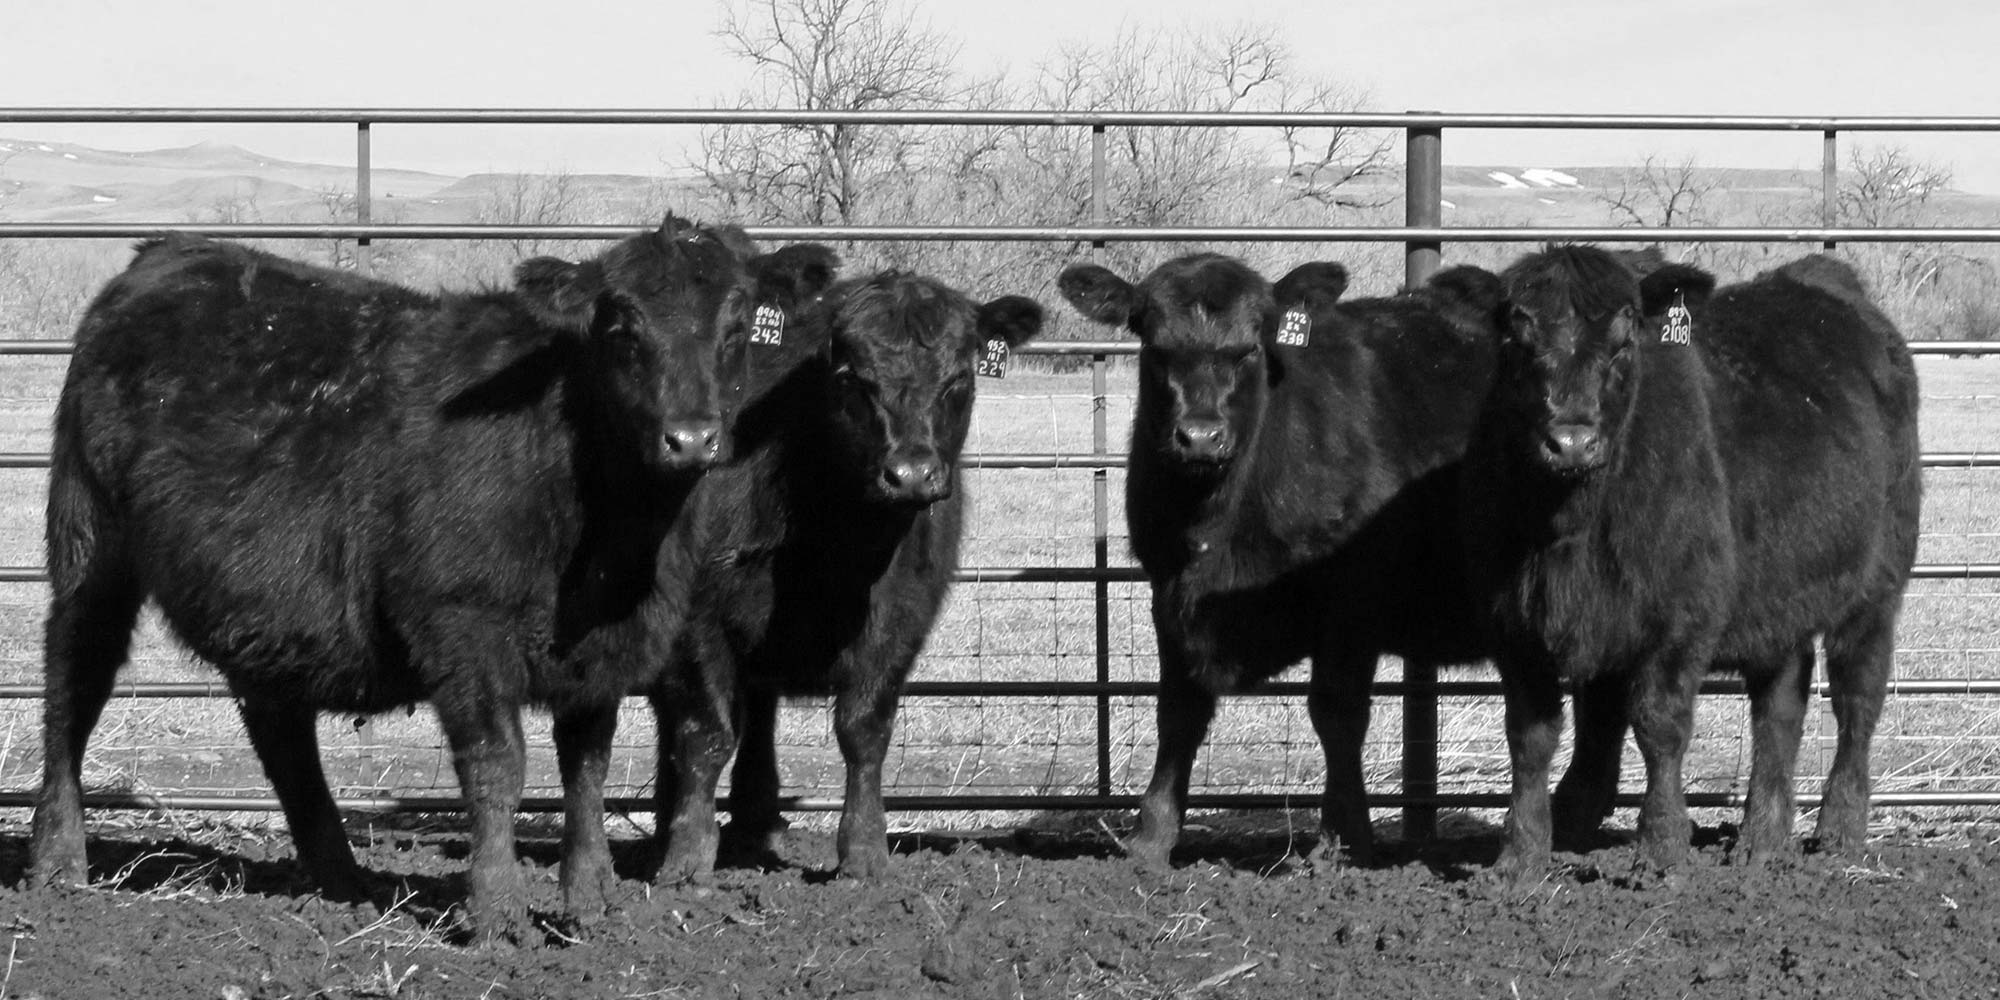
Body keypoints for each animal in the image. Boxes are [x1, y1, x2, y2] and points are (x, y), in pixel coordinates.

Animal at [30, 218, 835, 943]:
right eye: (622, 325)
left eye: (738, 324)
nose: (691, 438)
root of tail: (166, 252)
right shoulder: (460, 625)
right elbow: (498, 767)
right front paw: (500, 912)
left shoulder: (603, 649)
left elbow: (587, 768)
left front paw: (591, 901)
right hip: (90, 547)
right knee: (74, 682)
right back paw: (57, 859)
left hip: (266, 599)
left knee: (277, 726)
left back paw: (342, 877)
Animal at [647, 270, 1044, 883]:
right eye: (851, 377)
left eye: (960, 377)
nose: (911, 474)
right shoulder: (694, 618)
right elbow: (705, 733)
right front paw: (687, 857)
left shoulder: (902, 614)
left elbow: (864, 731)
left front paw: (864, 852)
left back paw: (756, 825)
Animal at [1057, 254, 1503, 866]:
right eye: (1156, 346)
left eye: (1250, 348)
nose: (1200, 436)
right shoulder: (1169, 592)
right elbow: (1178, 712)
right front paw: (1151, 837)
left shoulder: (1350, 603)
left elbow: (1336, 714)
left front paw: (1343, 840)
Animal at [1461, 245, 1922, 875]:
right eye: (1516, 336)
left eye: (1625, 338)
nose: (1572, 441)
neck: (1569, 530)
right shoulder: (1517, 624)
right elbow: (1534, 735)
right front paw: (1522, 853)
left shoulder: (1680, 616)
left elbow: (1658, 725)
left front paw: (1661, 846)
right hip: (1778, 599)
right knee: (1780, 707)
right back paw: (1760, 837)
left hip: (1876, 590)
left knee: (1858, 699)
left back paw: (1840, 828)